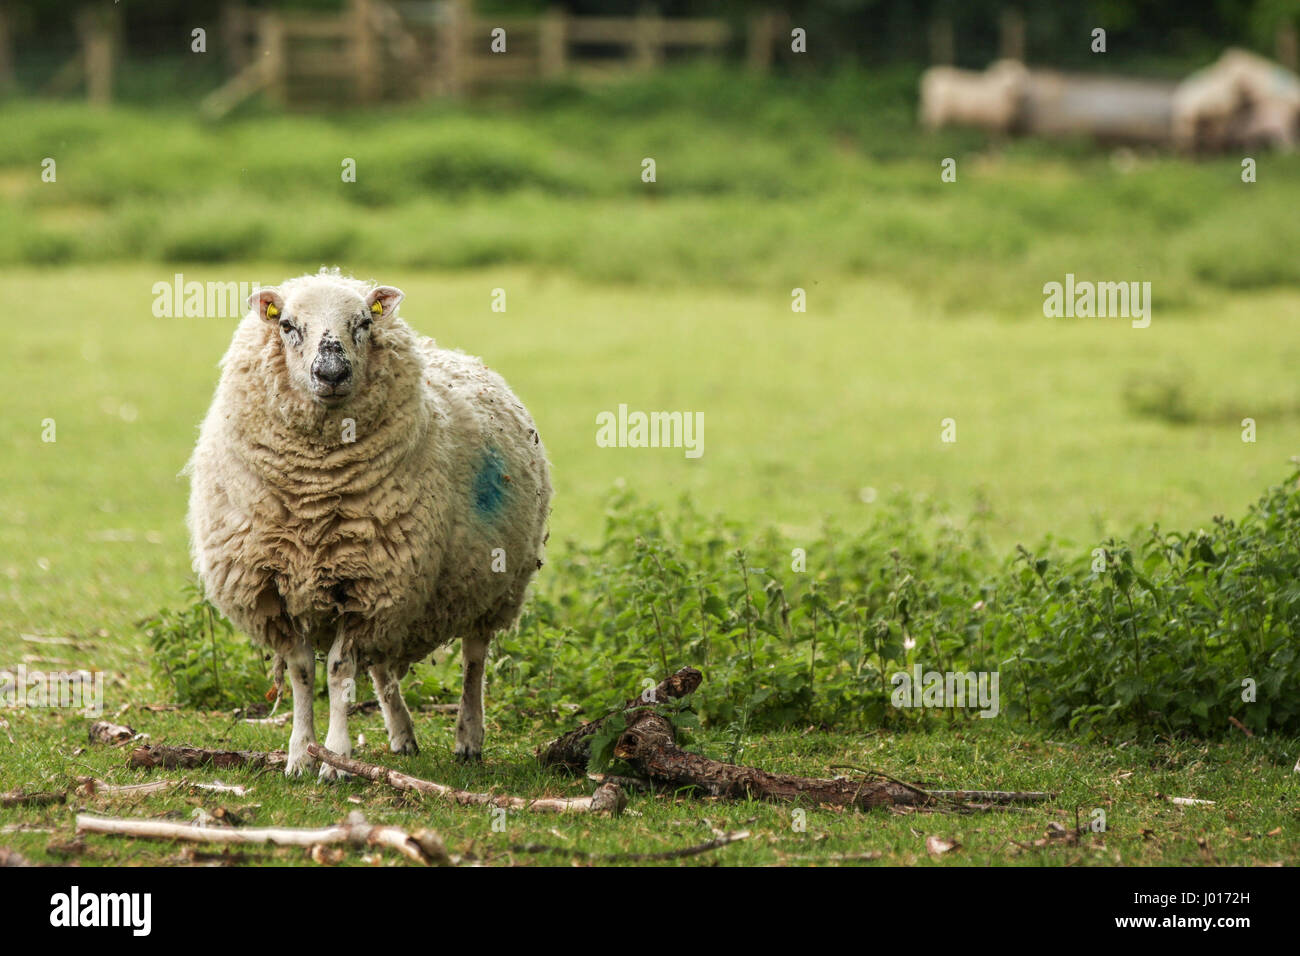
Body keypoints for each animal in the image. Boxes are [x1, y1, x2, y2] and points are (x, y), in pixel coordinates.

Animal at [186, 269, 552, 778]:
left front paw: (336, 760)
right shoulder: (283, 590)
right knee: (382, 667)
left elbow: (339, 671)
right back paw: (401, 736)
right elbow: (302, 672)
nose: (331, 373)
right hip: (399, 593)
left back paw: (468, 738)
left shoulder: (367, 585)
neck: (314, 497)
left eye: (363, 323)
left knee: (473, 660)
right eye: (287, 326)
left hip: (492, 586)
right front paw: (299, 755)